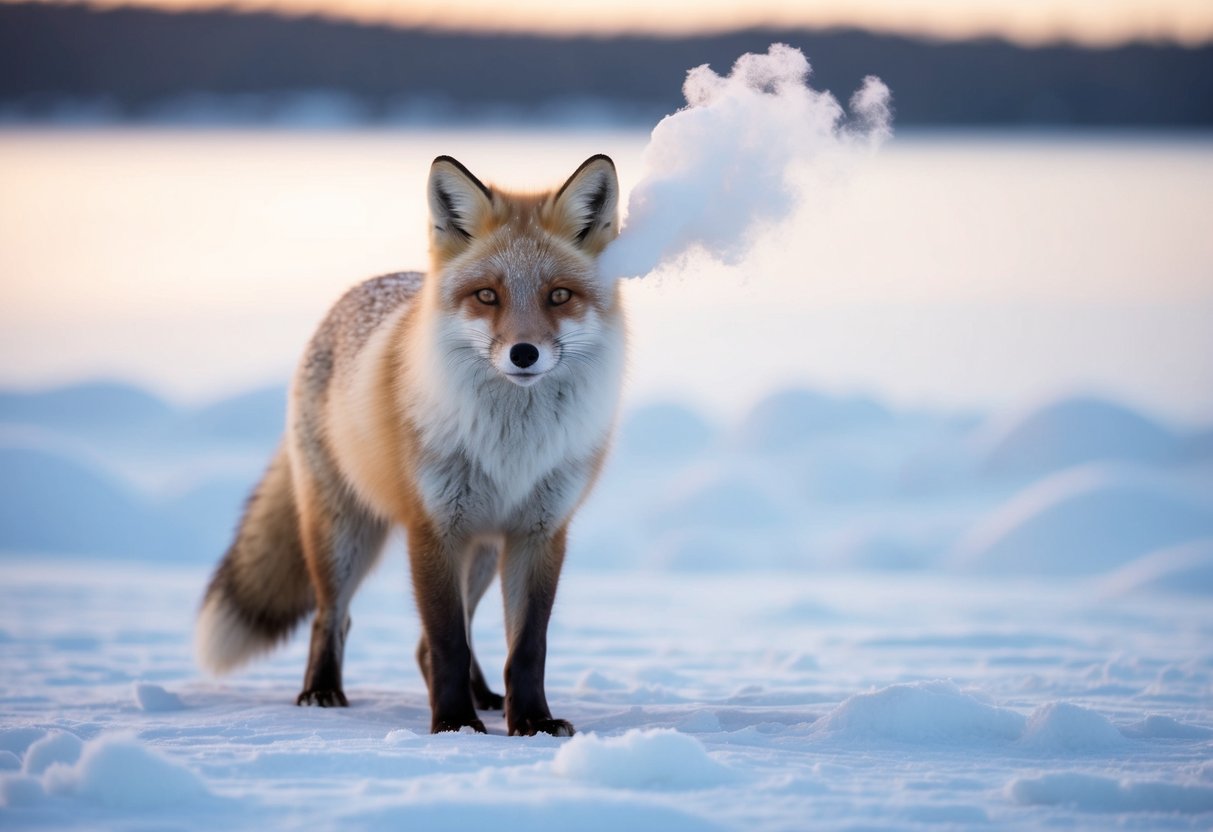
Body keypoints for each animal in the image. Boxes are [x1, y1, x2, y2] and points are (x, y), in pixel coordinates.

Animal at [195, 154, 625, 736]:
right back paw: (321, 690)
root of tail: (361, 289)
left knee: (430, 644)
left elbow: (526, 647)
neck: (511, 445)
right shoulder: (433, 528)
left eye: (559, 295)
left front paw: (531, 721)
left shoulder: (539, 532)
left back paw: (485, 697)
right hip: (344, 533)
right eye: (487, 295)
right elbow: (447, 642)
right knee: (334, 618)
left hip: (482, 551)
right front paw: (454, 724)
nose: (524, 353)